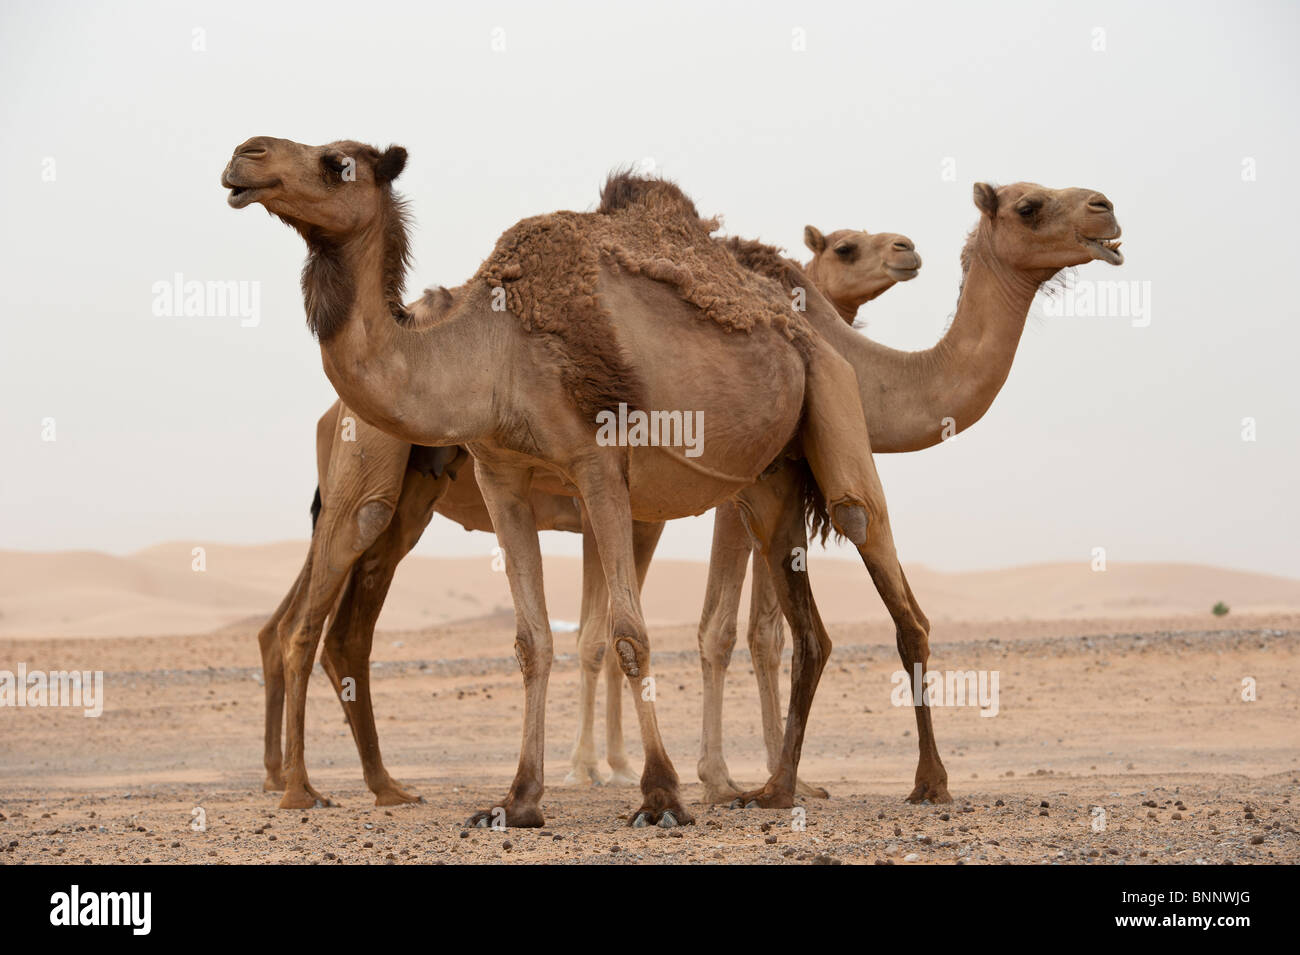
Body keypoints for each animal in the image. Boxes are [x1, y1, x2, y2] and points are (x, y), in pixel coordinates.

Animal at [224, 136, 924, 826]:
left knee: (863, 524)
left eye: (337, 164)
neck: (491, 350)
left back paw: (923, 784)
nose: (244, 157)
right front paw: (519, 799)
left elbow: (628, 633)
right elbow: (532, 639)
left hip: (827, 398)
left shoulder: (601, 466)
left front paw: (661, 795)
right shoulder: (500, 473)